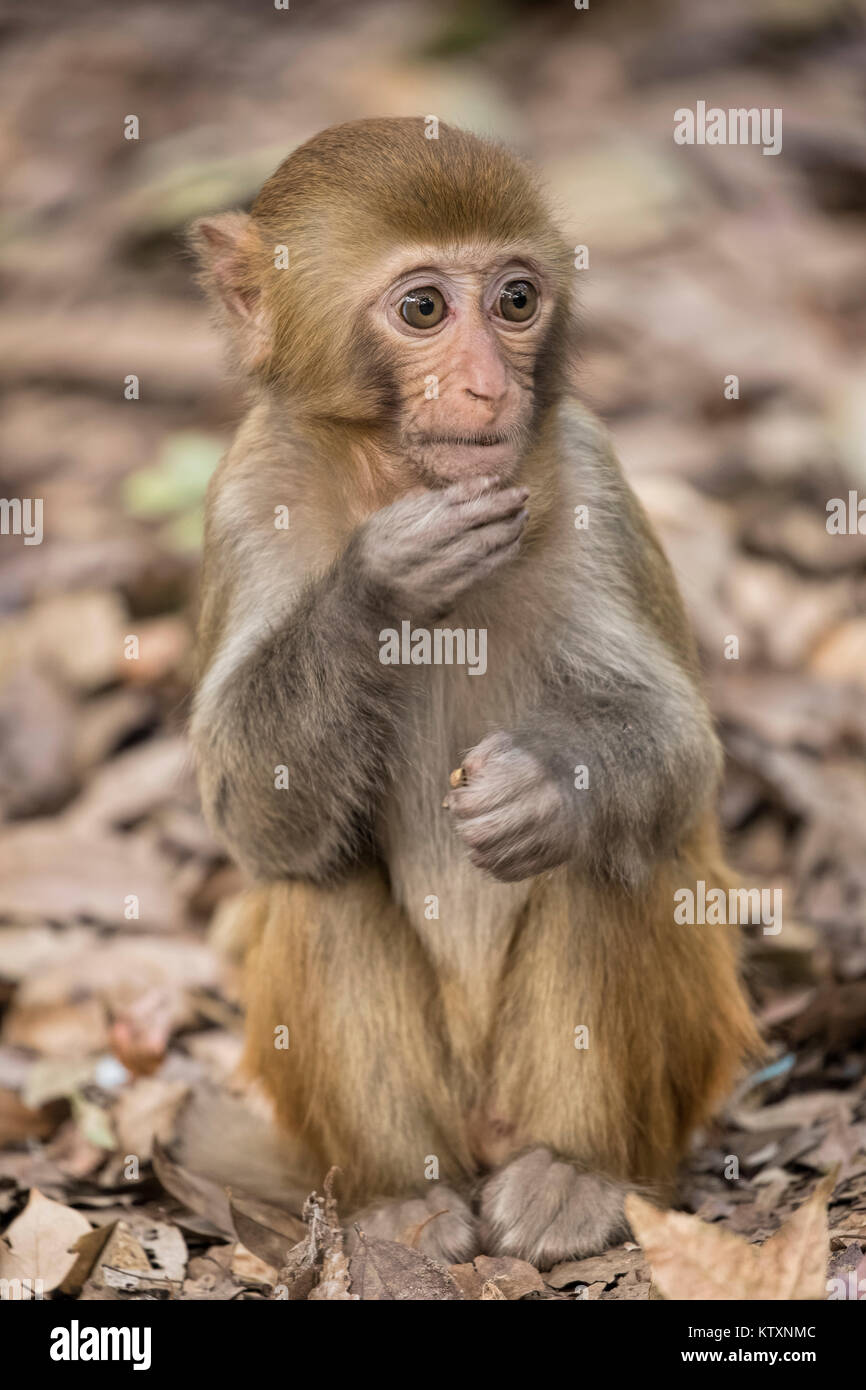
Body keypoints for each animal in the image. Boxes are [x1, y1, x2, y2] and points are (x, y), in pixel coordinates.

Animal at [186, 117, 759, 1269]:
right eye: (422, 309)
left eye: (515, 300)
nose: (492, 390)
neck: (391, 473)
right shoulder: (246, 500)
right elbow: (250, 815)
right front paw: (375, 583)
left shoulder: (587, 475)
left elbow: (678, 752)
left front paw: (540, 786)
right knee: (321, 886)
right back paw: (400, 1200)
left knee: (603, 857)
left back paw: (572, 1172)